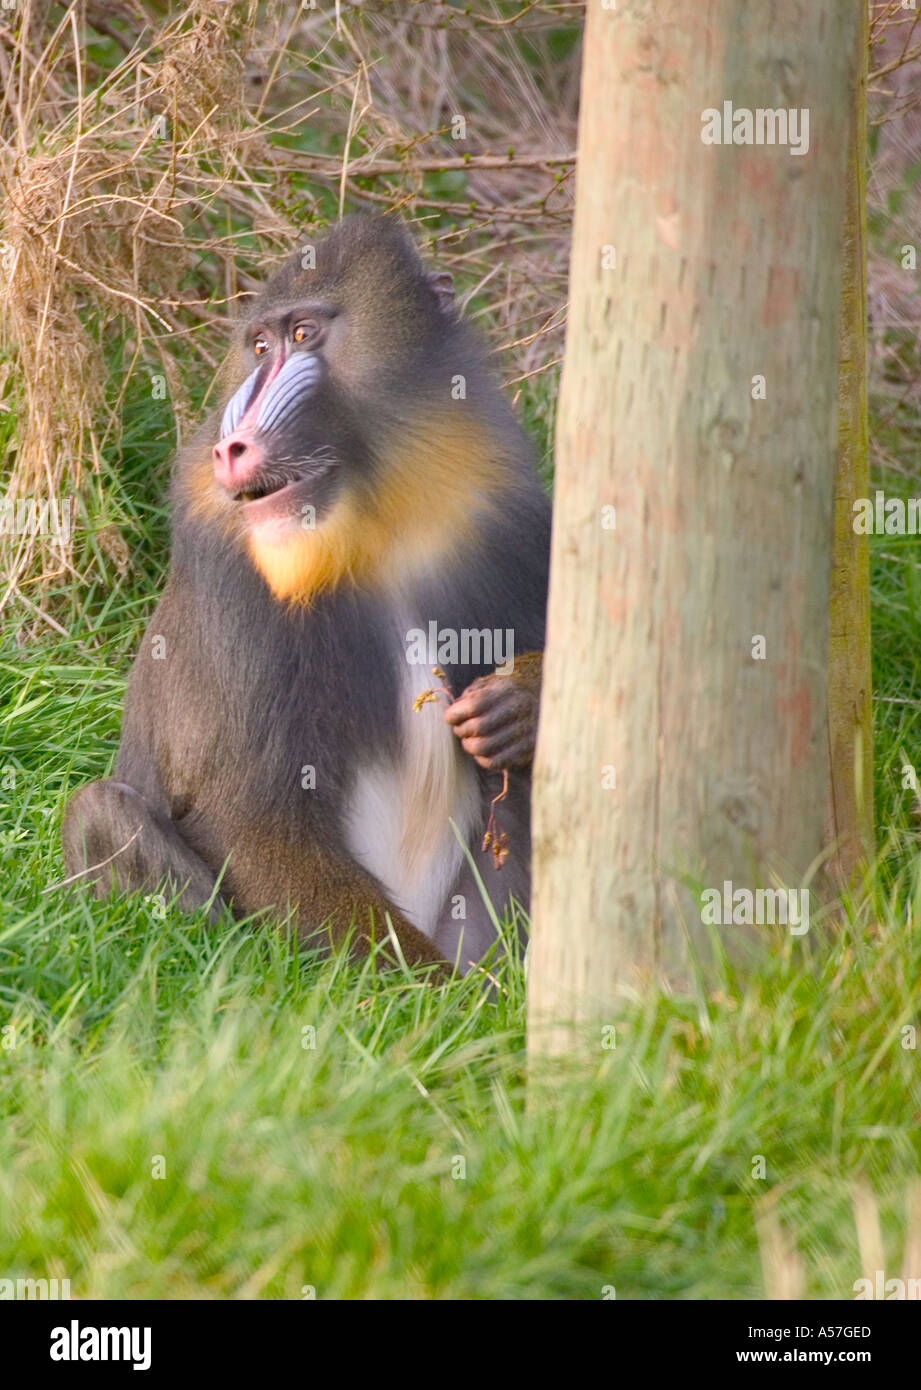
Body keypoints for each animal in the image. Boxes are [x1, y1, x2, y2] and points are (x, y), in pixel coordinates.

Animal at [61, 215, 551, 973]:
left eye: (302, 335)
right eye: (259, 346)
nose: (232, 445)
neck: (374, 522)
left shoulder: (503, 515)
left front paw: (518, 701)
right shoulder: (237, 593)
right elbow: (253, 818)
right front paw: (428, 996)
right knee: (101, 812)